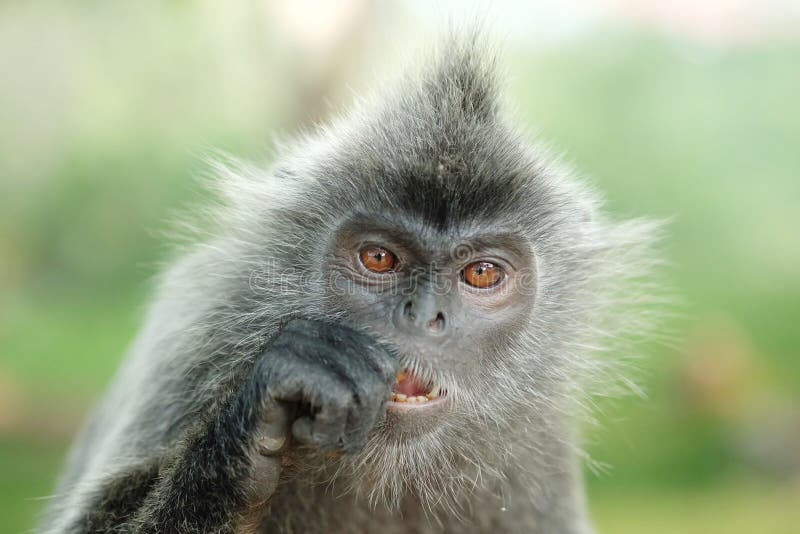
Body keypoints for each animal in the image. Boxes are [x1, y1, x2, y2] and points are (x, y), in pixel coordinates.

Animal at [39, 35, 659, 533]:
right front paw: (266, 409)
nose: (423, 315)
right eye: (379, 258)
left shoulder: (539, 446)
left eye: (481, 273)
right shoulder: (196, 343)